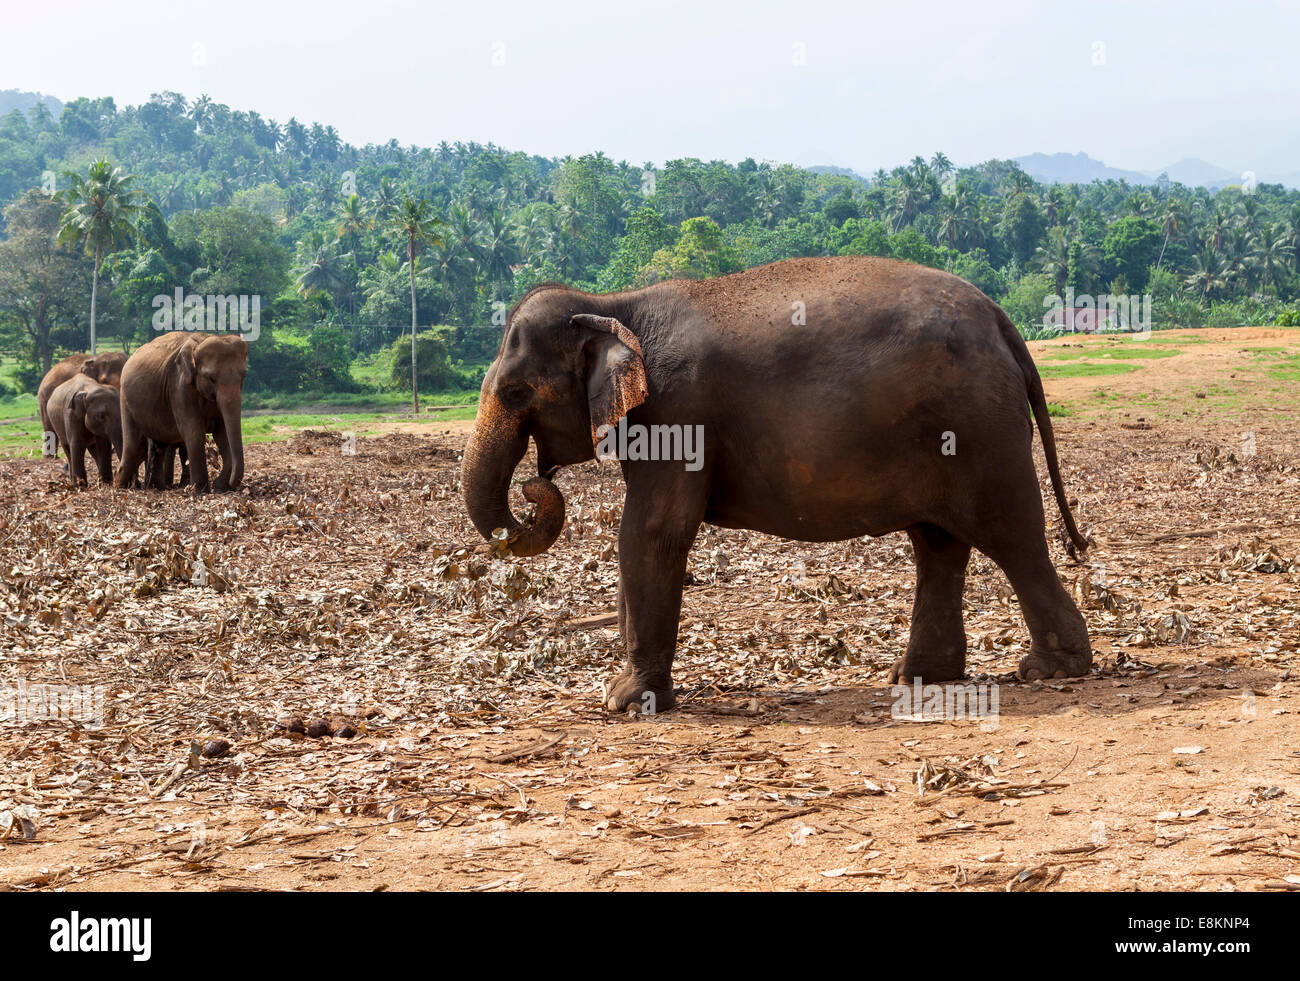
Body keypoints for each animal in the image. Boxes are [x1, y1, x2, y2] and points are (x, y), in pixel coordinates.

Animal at [116, 332, 247, 493]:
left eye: (243, 376)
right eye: (211, 378)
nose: (233, 484)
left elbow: (222, 433)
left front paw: (220, 487)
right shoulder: (180, 387)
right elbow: (193, 431)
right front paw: (199, 491)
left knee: (159, 446)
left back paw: (155, 488)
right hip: (126, 402)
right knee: (134, 446)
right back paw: (120, 487)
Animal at [462, 256, 1092, 713]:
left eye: (516, 392)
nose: (533, 487)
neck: (613, 304)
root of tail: (1002, 321)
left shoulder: (681, 413)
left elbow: (652, 529)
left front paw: (624, 703)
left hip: (981, 430)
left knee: (1010, 534)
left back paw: (1051, 670)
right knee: (938, 545)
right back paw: (917, 678)